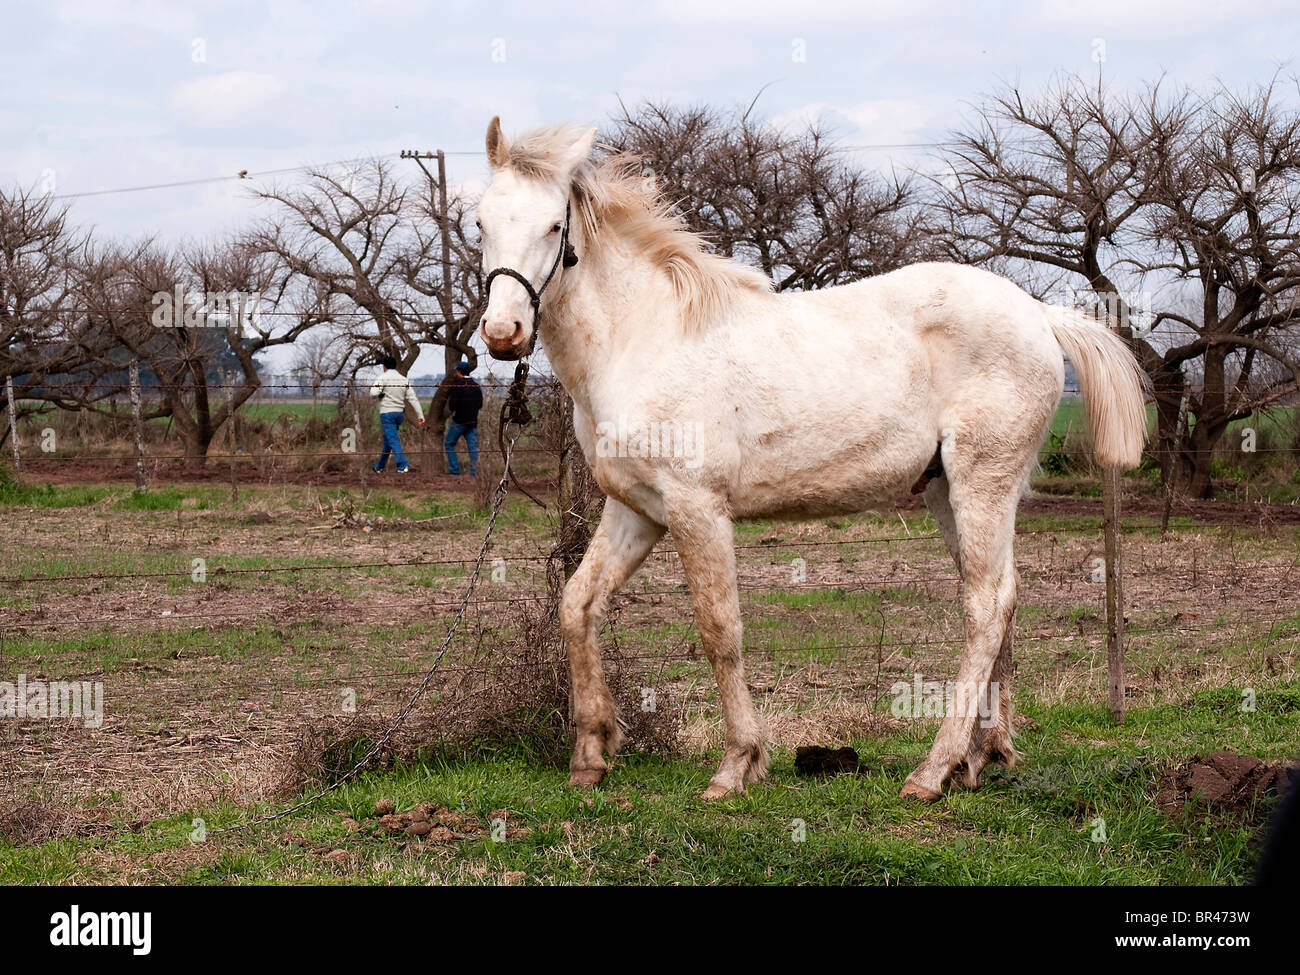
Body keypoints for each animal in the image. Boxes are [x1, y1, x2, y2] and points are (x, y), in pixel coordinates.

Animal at [474, 117, 1148, 801]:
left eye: (553, 226)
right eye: (479, 222)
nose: (502, 334)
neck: (644, 339)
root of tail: (1038, 313)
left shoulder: (697, 510)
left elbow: (721, 631)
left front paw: (737, 765)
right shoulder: (635, 511)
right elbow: (577, 606)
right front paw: (591, 753)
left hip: (982, 485)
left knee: (986, 606)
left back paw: (932, 771)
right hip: (947, 493)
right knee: (999, 602)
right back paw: (979, 758)